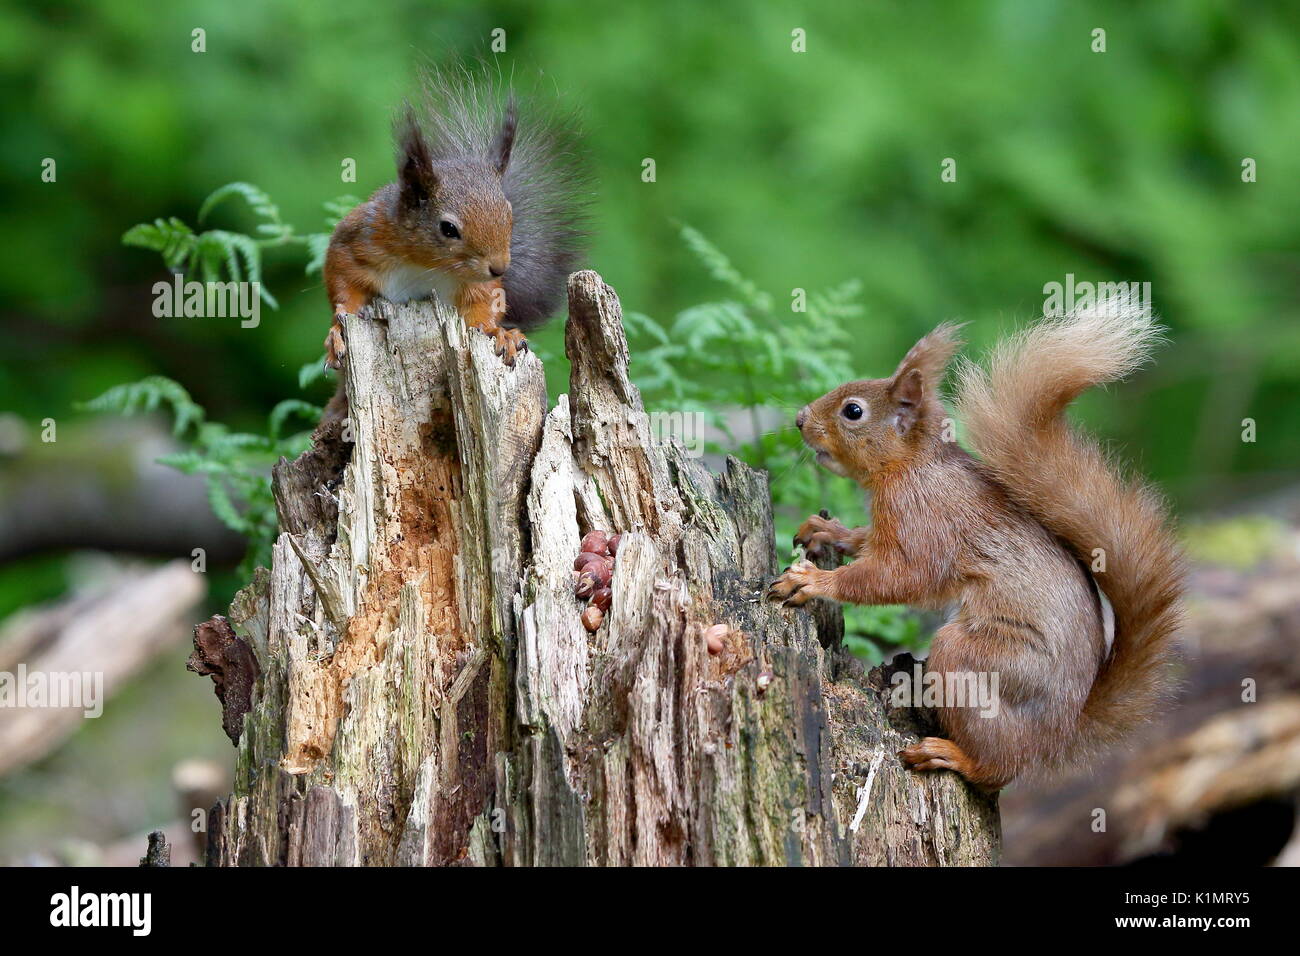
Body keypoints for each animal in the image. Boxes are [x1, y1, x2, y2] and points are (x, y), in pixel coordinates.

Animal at [322, 73, 590, 370]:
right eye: (448, 228)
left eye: (510, 214)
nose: (499, 268)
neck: (426, 264)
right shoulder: (362, 236)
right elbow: (343, 281)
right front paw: (338, 332)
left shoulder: (476, 283)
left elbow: (483, 304)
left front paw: (497, 332)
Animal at [767, 303, 1185, 791]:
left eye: (853, 411)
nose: (800, 418)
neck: (911, 465)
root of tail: (1059, 735)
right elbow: (866, 544)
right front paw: (825, 530)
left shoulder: (923, 520)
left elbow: (897, 577)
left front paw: (812, 581)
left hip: (982, 662)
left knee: (998, 767)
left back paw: (953, 756)